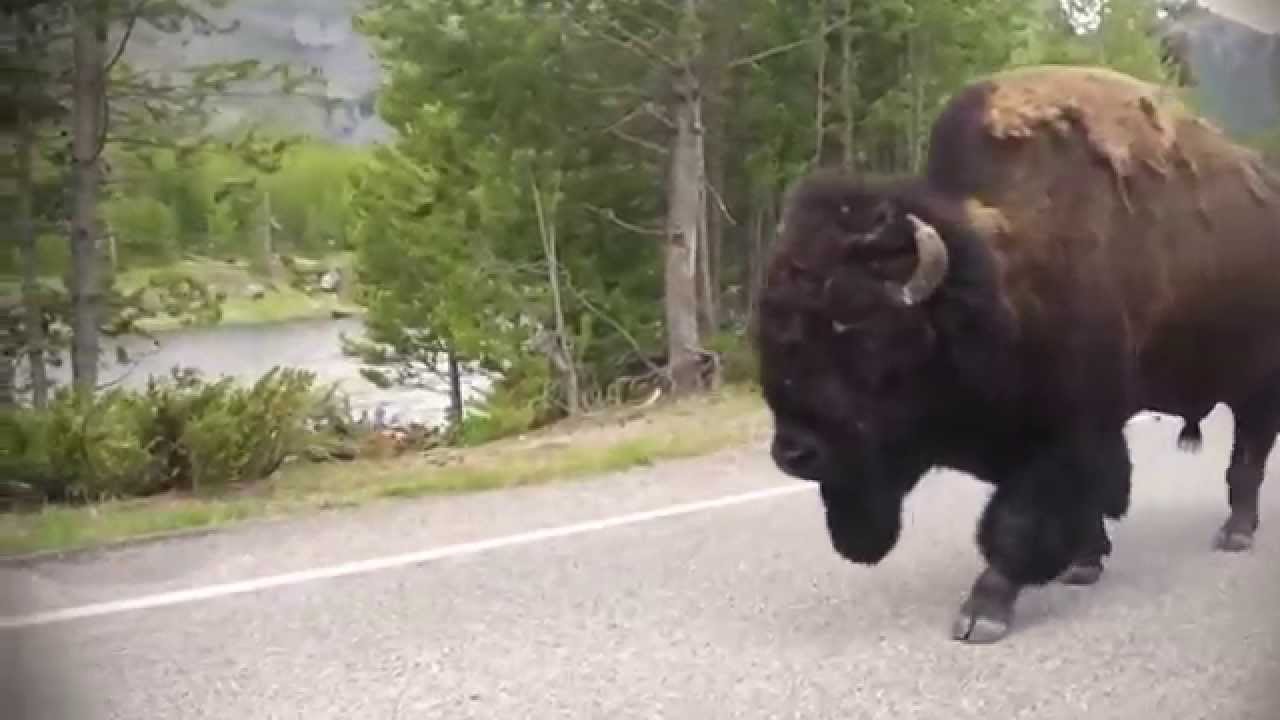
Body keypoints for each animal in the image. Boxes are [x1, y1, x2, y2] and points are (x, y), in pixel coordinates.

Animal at [755, 65, 1280, 643]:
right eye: (768, 328)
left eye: (866, 333)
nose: (793, 452)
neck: (1000, 279)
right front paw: (1083, 564)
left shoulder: (1067, 433)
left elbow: (1017, 520)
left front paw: (981, 613)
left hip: (1258, 384)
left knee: (1248, 457)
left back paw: (1235, 534)